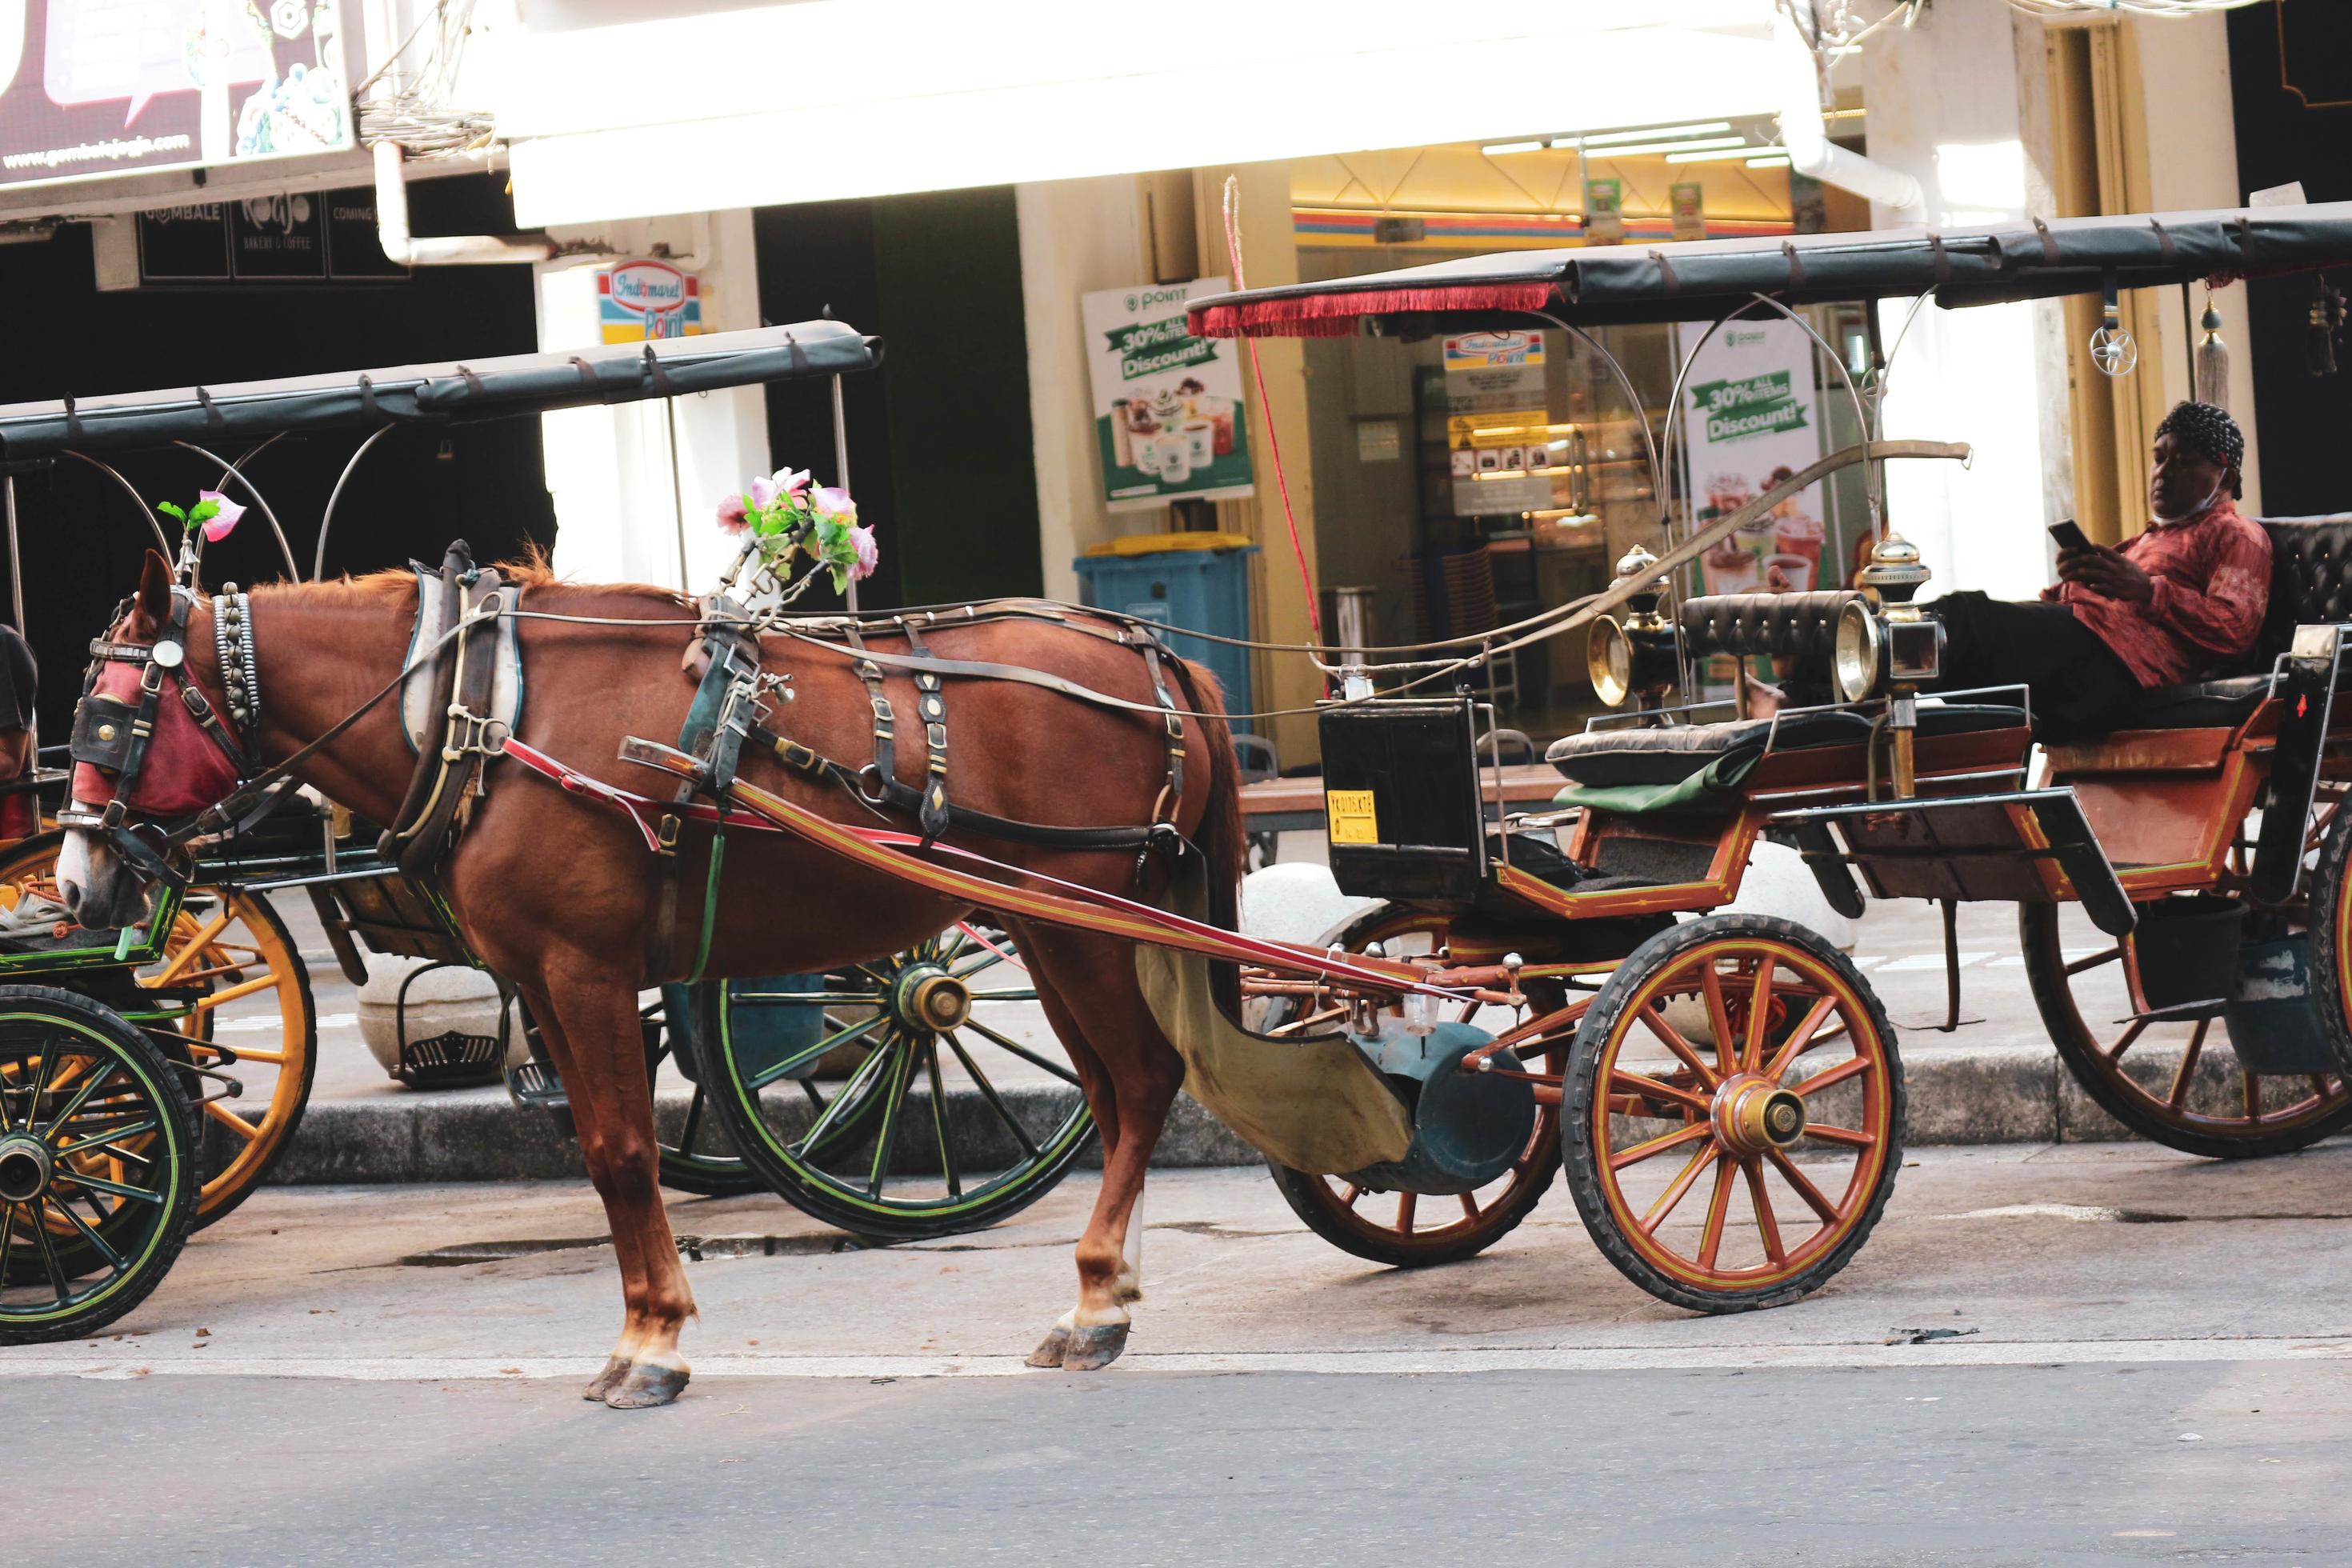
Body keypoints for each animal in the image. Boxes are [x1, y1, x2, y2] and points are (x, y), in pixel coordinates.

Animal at [60, 549, 1242, 1407]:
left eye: (112, 720)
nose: (75, 885)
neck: (485, 712)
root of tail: (1155, 659)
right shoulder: (541, 979)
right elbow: (598, 1152)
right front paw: (643, 1327)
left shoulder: (586, 968)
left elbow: (628, 1155)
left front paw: (655, 1342)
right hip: (1053, 926)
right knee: (1112, 1091)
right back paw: (1107, 1291)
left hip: (1084, 920)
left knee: (1142, 1079)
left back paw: (1096, 1298)